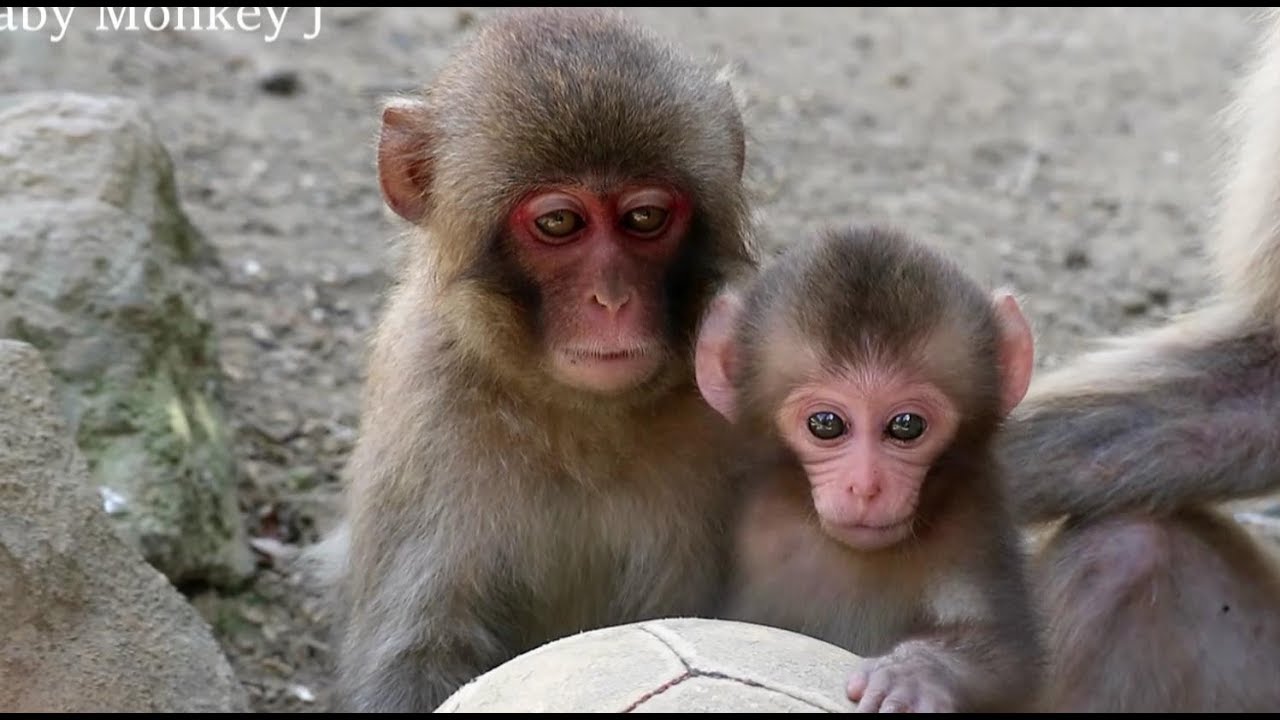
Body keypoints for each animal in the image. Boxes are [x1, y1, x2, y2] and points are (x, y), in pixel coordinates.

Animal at [313, 7, 758, 712]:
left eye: (644, 217)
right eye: (558, 224)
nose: (612, 298)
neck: (583, 418)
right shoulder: (425, 421)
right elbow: (415, 656)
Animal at [694, 225, 1044, 713]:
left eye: (906, 425)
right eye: (826, 424)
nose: (865, 486)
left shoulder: (973, 520)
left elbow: (1005, 656)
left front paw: (915, 672)